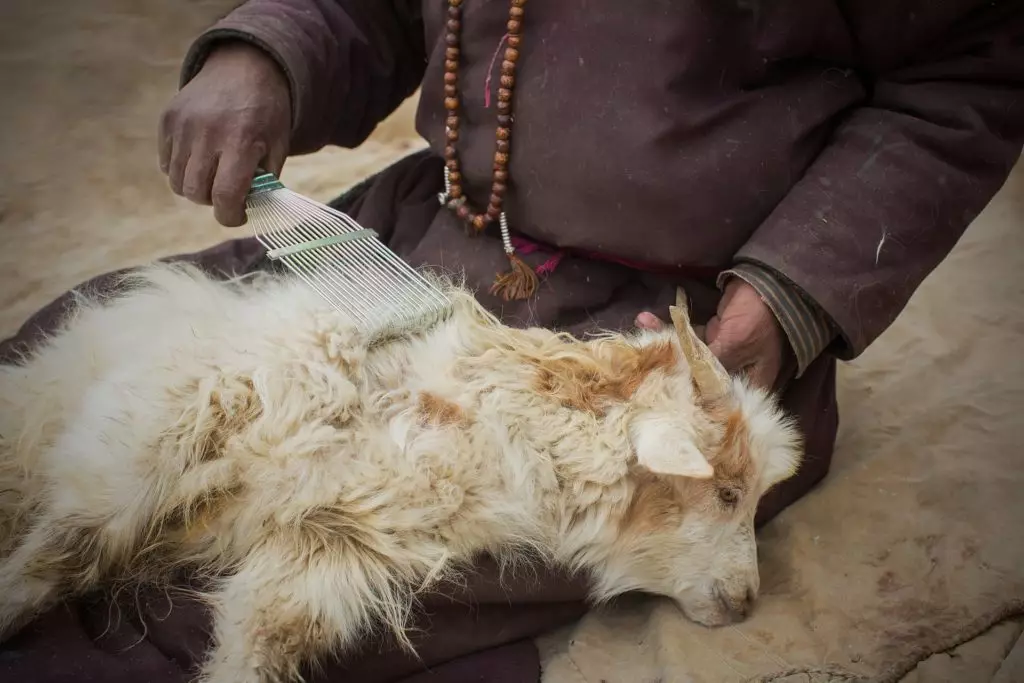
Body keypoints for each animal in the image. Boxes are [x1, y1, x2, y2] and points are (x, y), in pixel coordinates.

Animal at [0, 264, 798, 683]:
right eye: (727, 491)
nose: (747, 601)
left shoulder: (329, 547)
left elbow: (259, 639)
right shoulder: (160, 431)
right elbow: (57, 554)